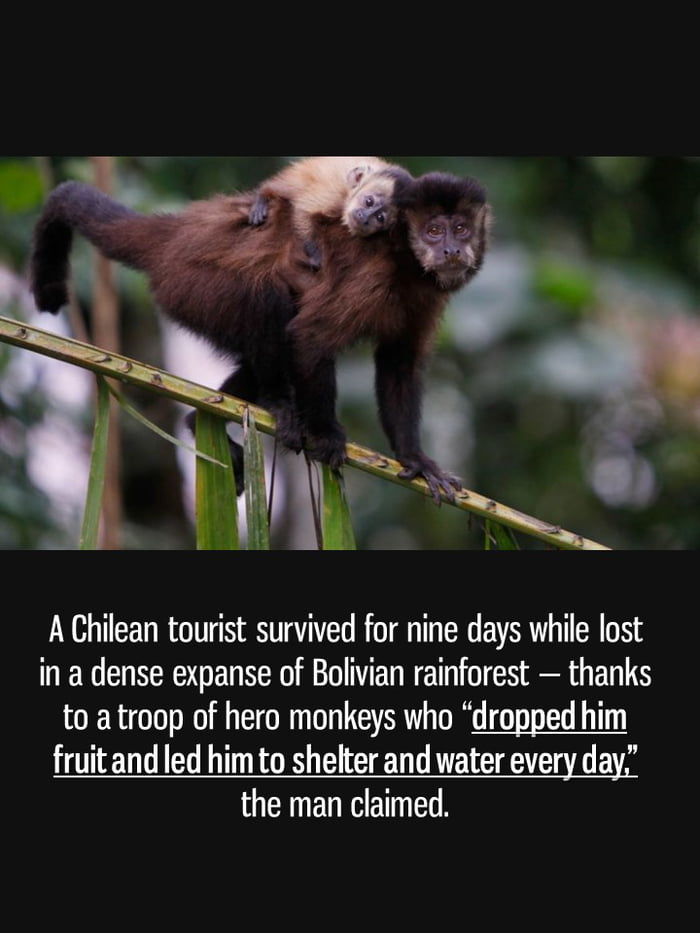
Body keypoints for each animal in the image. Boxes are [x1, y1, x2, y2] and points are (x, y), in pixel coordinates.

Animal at [29, 170, 491, 503]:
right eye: (434, 231)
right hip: (192, 287)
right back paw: (273, 402)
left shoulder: (425, 295)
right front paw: (325, 435)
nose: (451, 250)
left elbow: (400, 366)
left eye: (461, 229)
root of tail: (177, 232)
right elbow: (310, 337)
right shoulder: (375, 276)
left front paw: (416, 459)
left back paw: (200, 420)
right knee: (268, 299)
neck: (406, 260)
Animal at [248, 156, 412, 270]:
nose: (364, 218)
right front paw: (314, 254)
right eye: (369, 201)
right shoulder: (334, 194)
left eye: (379, 218)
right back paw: (265, 193)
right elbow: (303, 210)